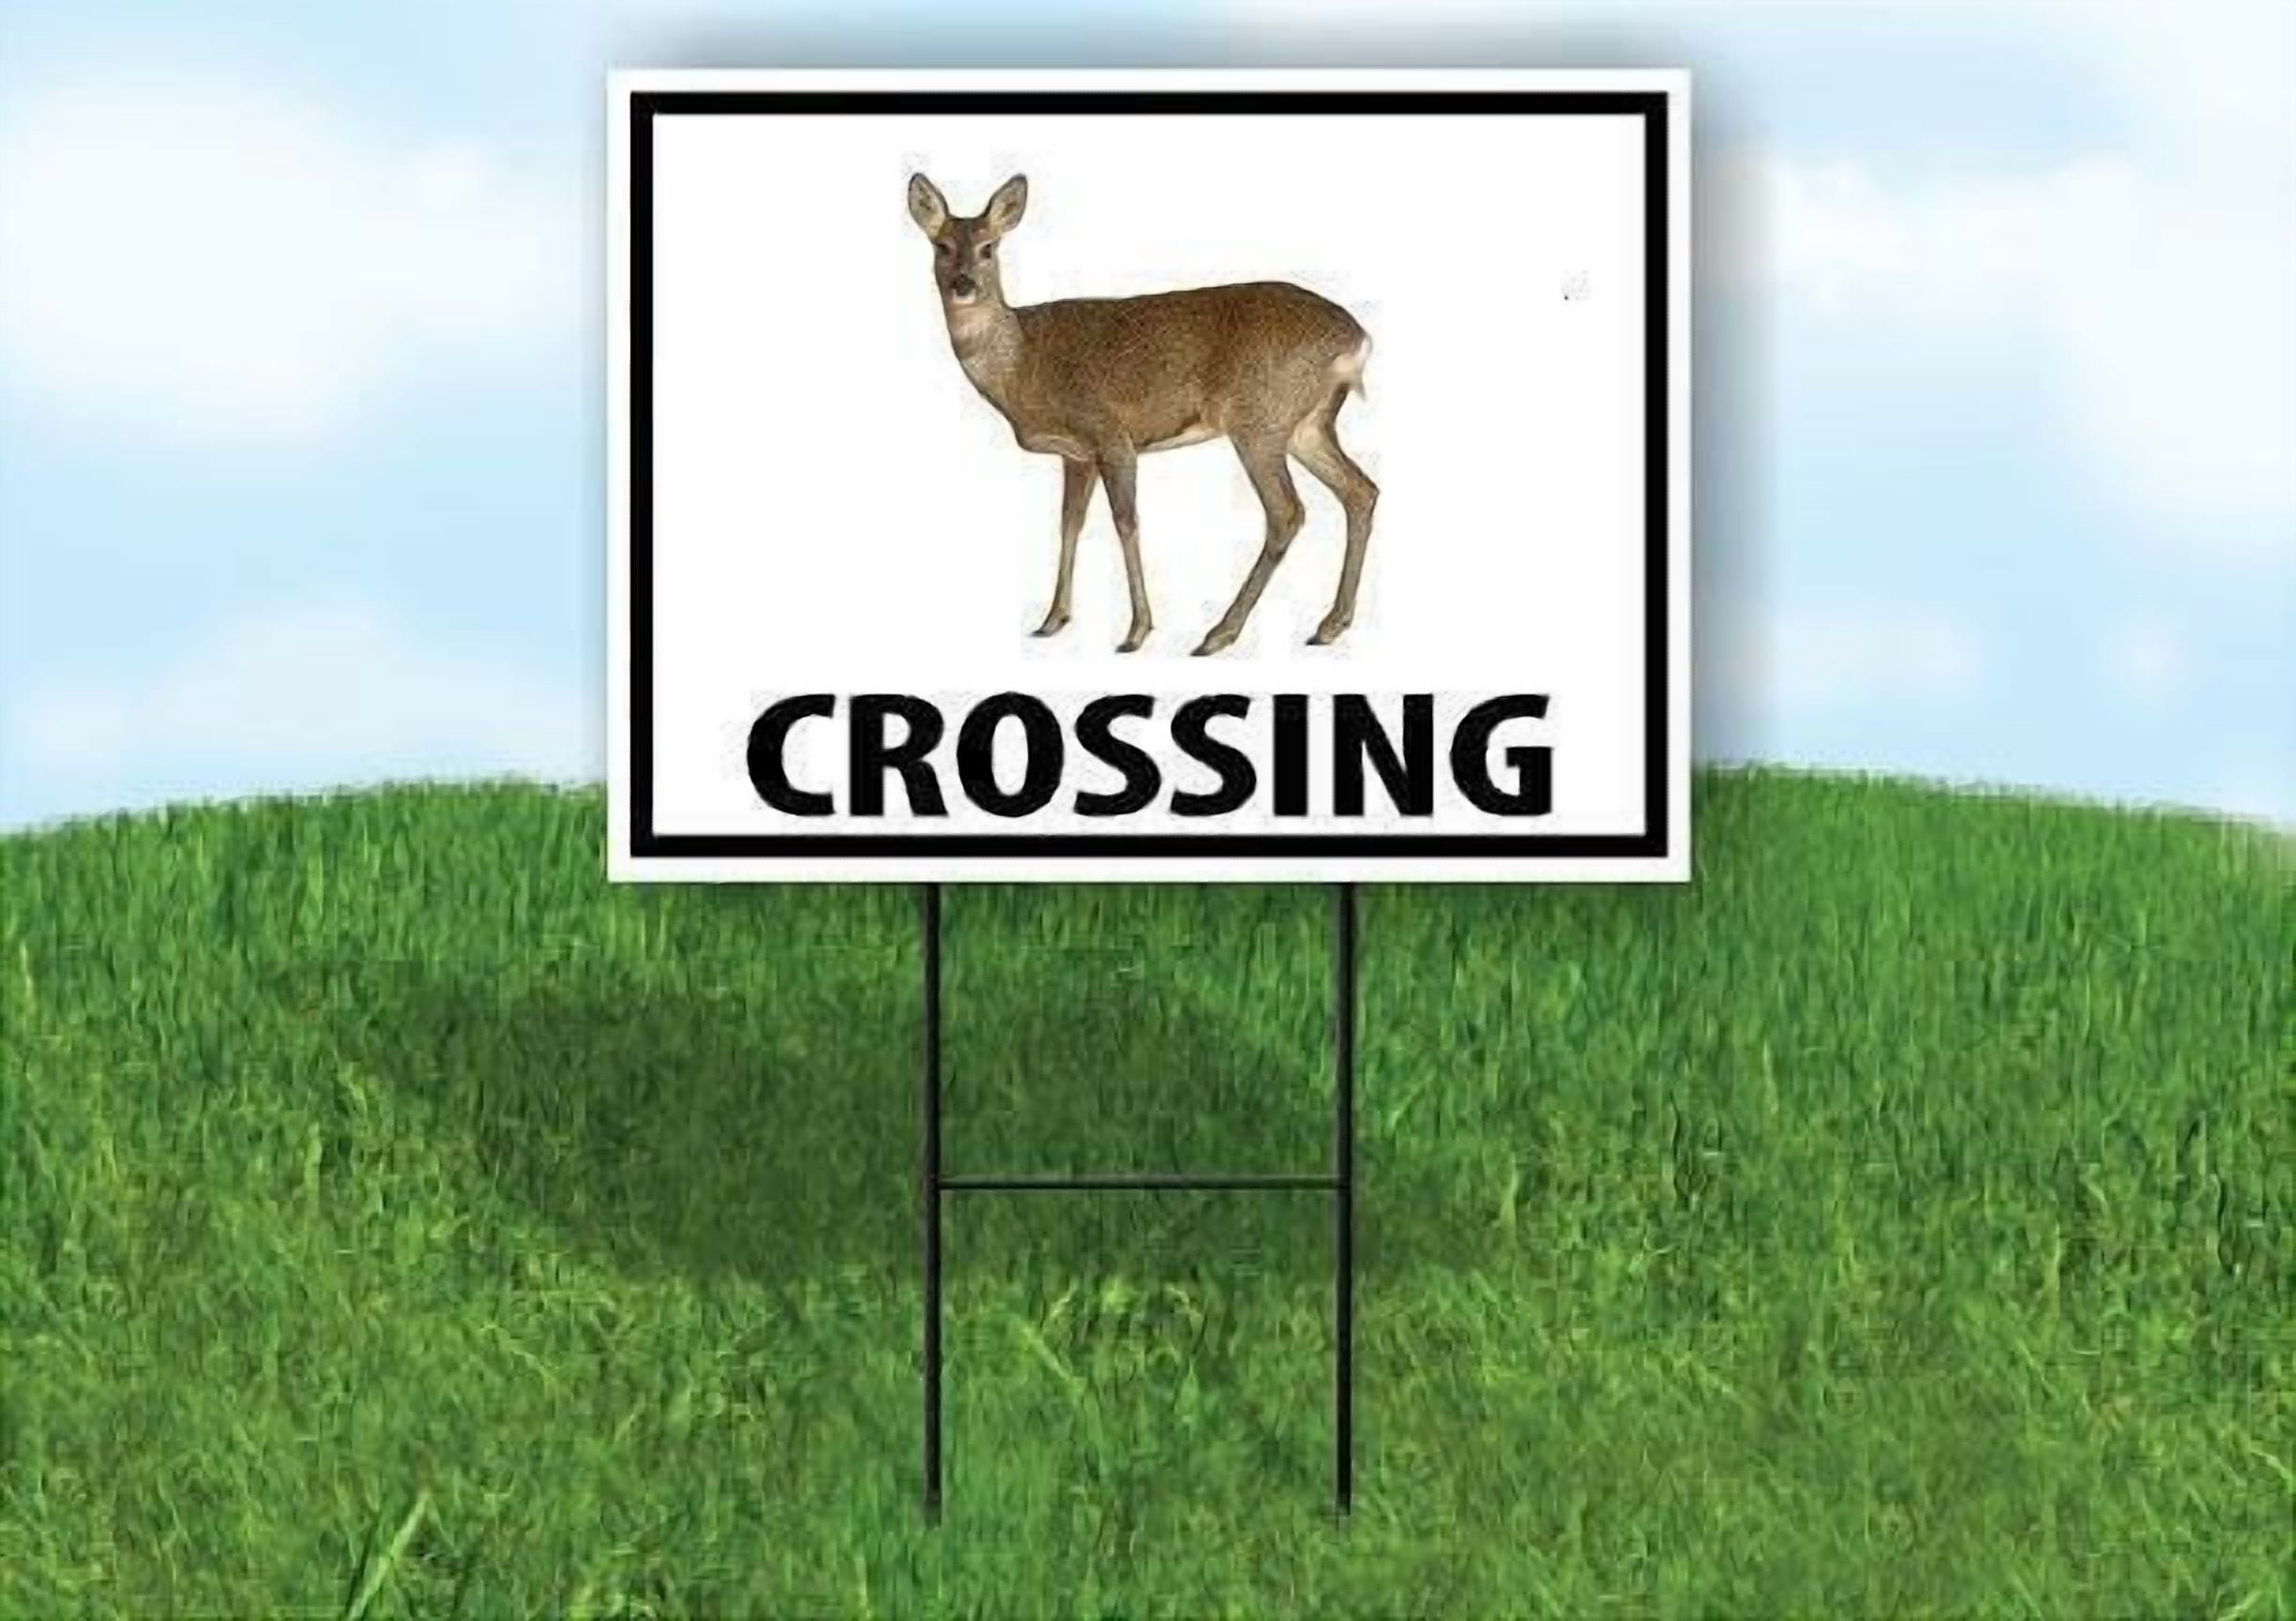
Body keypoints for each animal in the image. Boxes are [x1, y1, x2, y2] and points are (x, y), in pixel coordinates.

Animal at [905, 172, 1379, 656]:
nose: (964, 284)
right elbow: (1069, 524)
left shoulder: (1111, 432)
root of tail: (1357, 339)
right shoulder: (1076, 454)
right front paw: (1053, 619)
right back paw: (1329, 624)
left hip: (1259, 420)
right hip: (1307, 424)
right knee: (1360, 490)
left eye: (989, 248)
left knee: (1287, 512)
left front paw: (1136, 630)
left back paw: (1219, 633)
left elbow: (1126, 523)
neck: (1022, 363)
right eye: (941, 246)